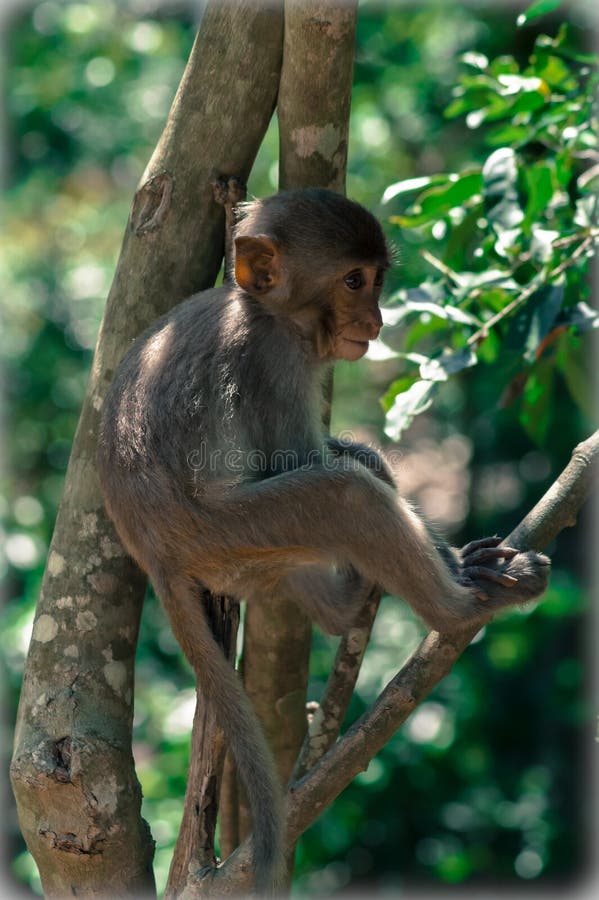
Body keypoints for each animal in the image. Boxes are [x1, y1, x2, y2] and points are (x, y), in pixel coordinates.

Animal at [97, 188, 550, 893]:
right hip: (226, 532)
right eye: (354, 281)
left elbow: (346, 457)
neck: (265, 310)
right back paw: (460, 607)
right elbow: (301, 461)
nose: (378, 316)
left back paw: (355, 601)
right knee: (343, 495)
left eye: (376, 279)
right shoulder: (272, 362)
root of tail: (155, 553)